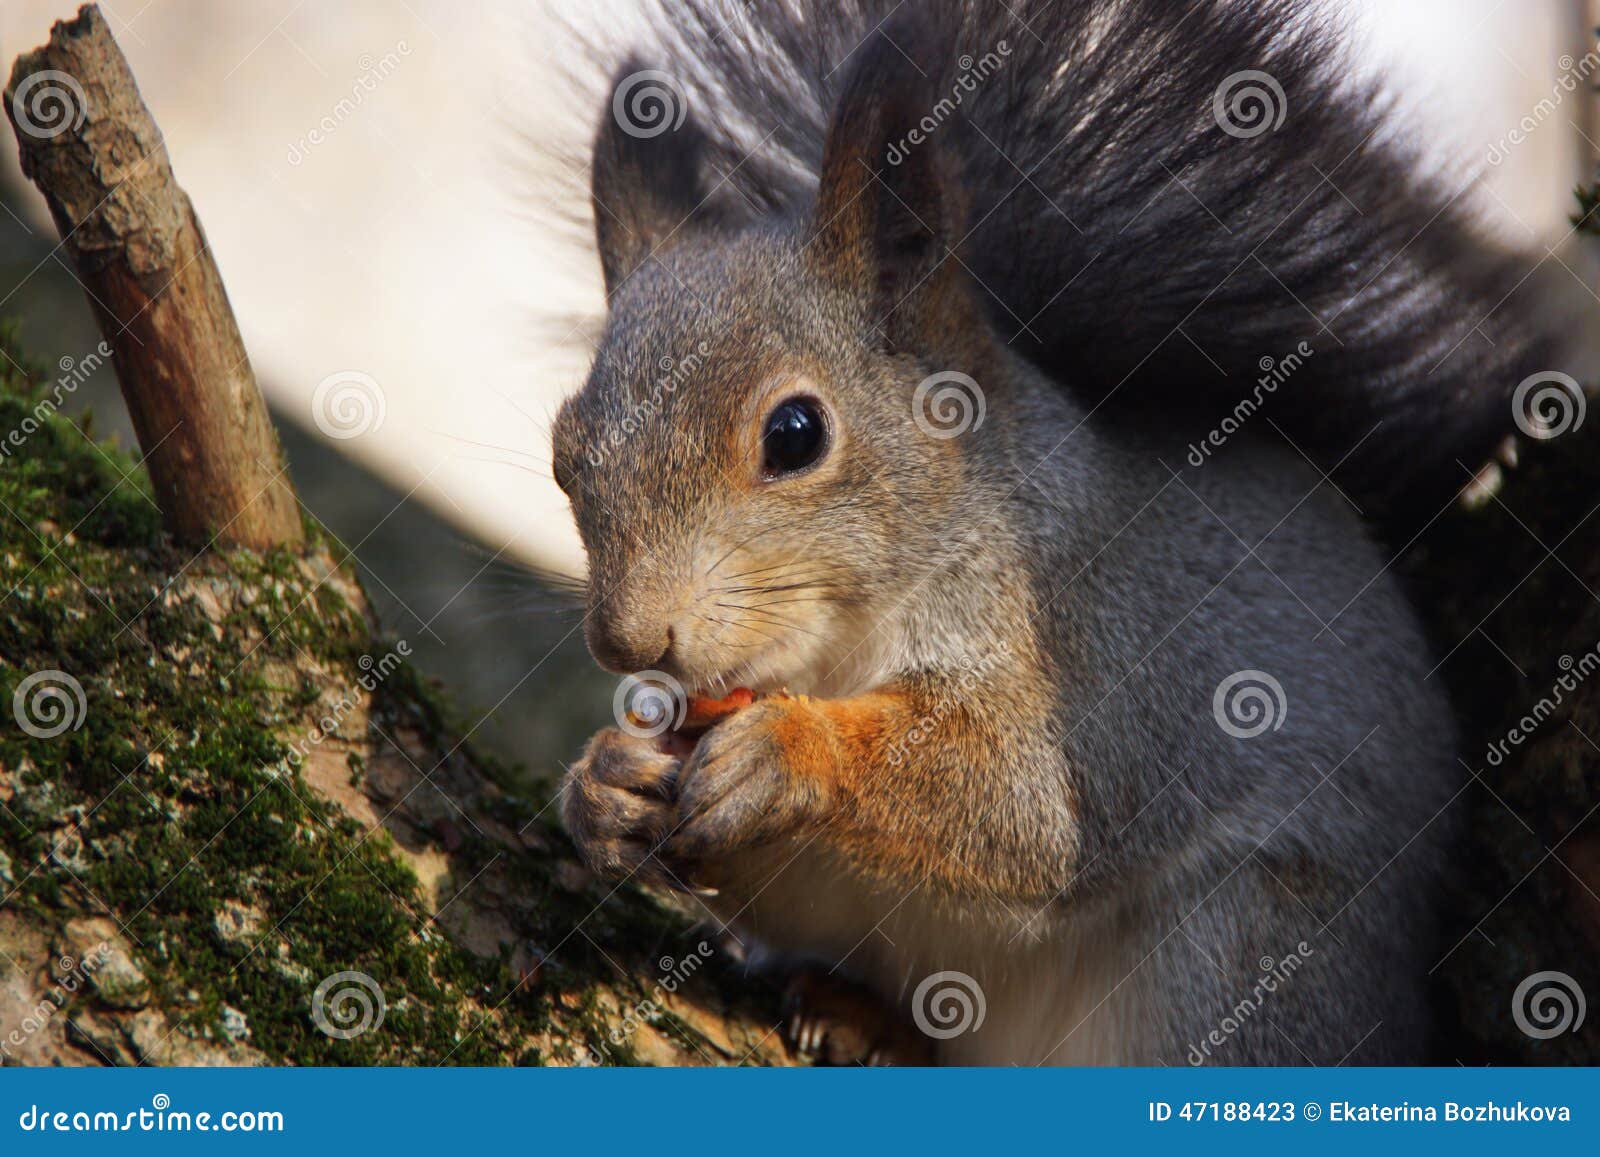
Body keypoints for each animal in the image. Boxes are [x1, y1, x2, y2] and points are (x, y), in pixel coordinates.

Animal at [548, 0, 1578, 1064]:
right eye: (564, 454)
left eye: (796, 433)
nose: (628, 640)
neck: (835, 653)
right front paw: (604, 784)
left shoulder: (1105, 655)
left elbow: (1025, 804)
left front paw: (791, 751)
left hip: (1248, 951)